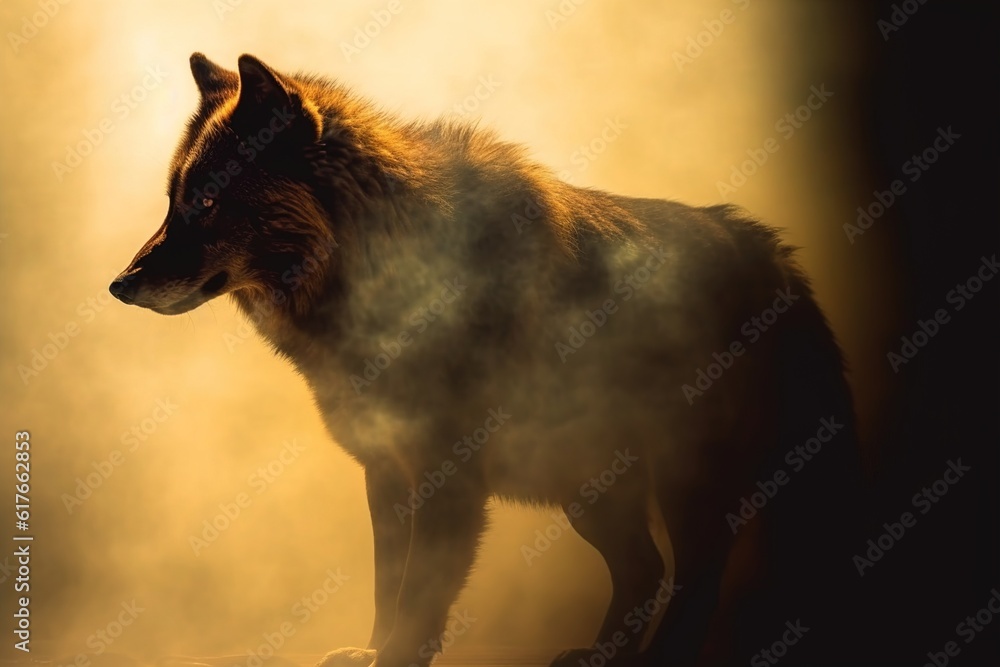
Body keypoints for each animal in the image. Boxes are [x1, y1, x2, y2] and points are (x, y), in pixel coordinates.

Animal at [110, 53, 862, 666]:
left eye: (207, 200)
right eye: (172, 199)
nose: (119, 285)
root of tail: (770, 251)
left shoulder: (449, 478)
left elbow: (420, 594)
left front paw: (397, 656)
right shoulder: (387, 471)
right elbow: (388, 583)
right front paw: (373, 649)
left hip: (681, 478)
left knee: (696, 573)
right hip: (592, 490)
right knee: (644, 570)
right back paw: (599, 656)